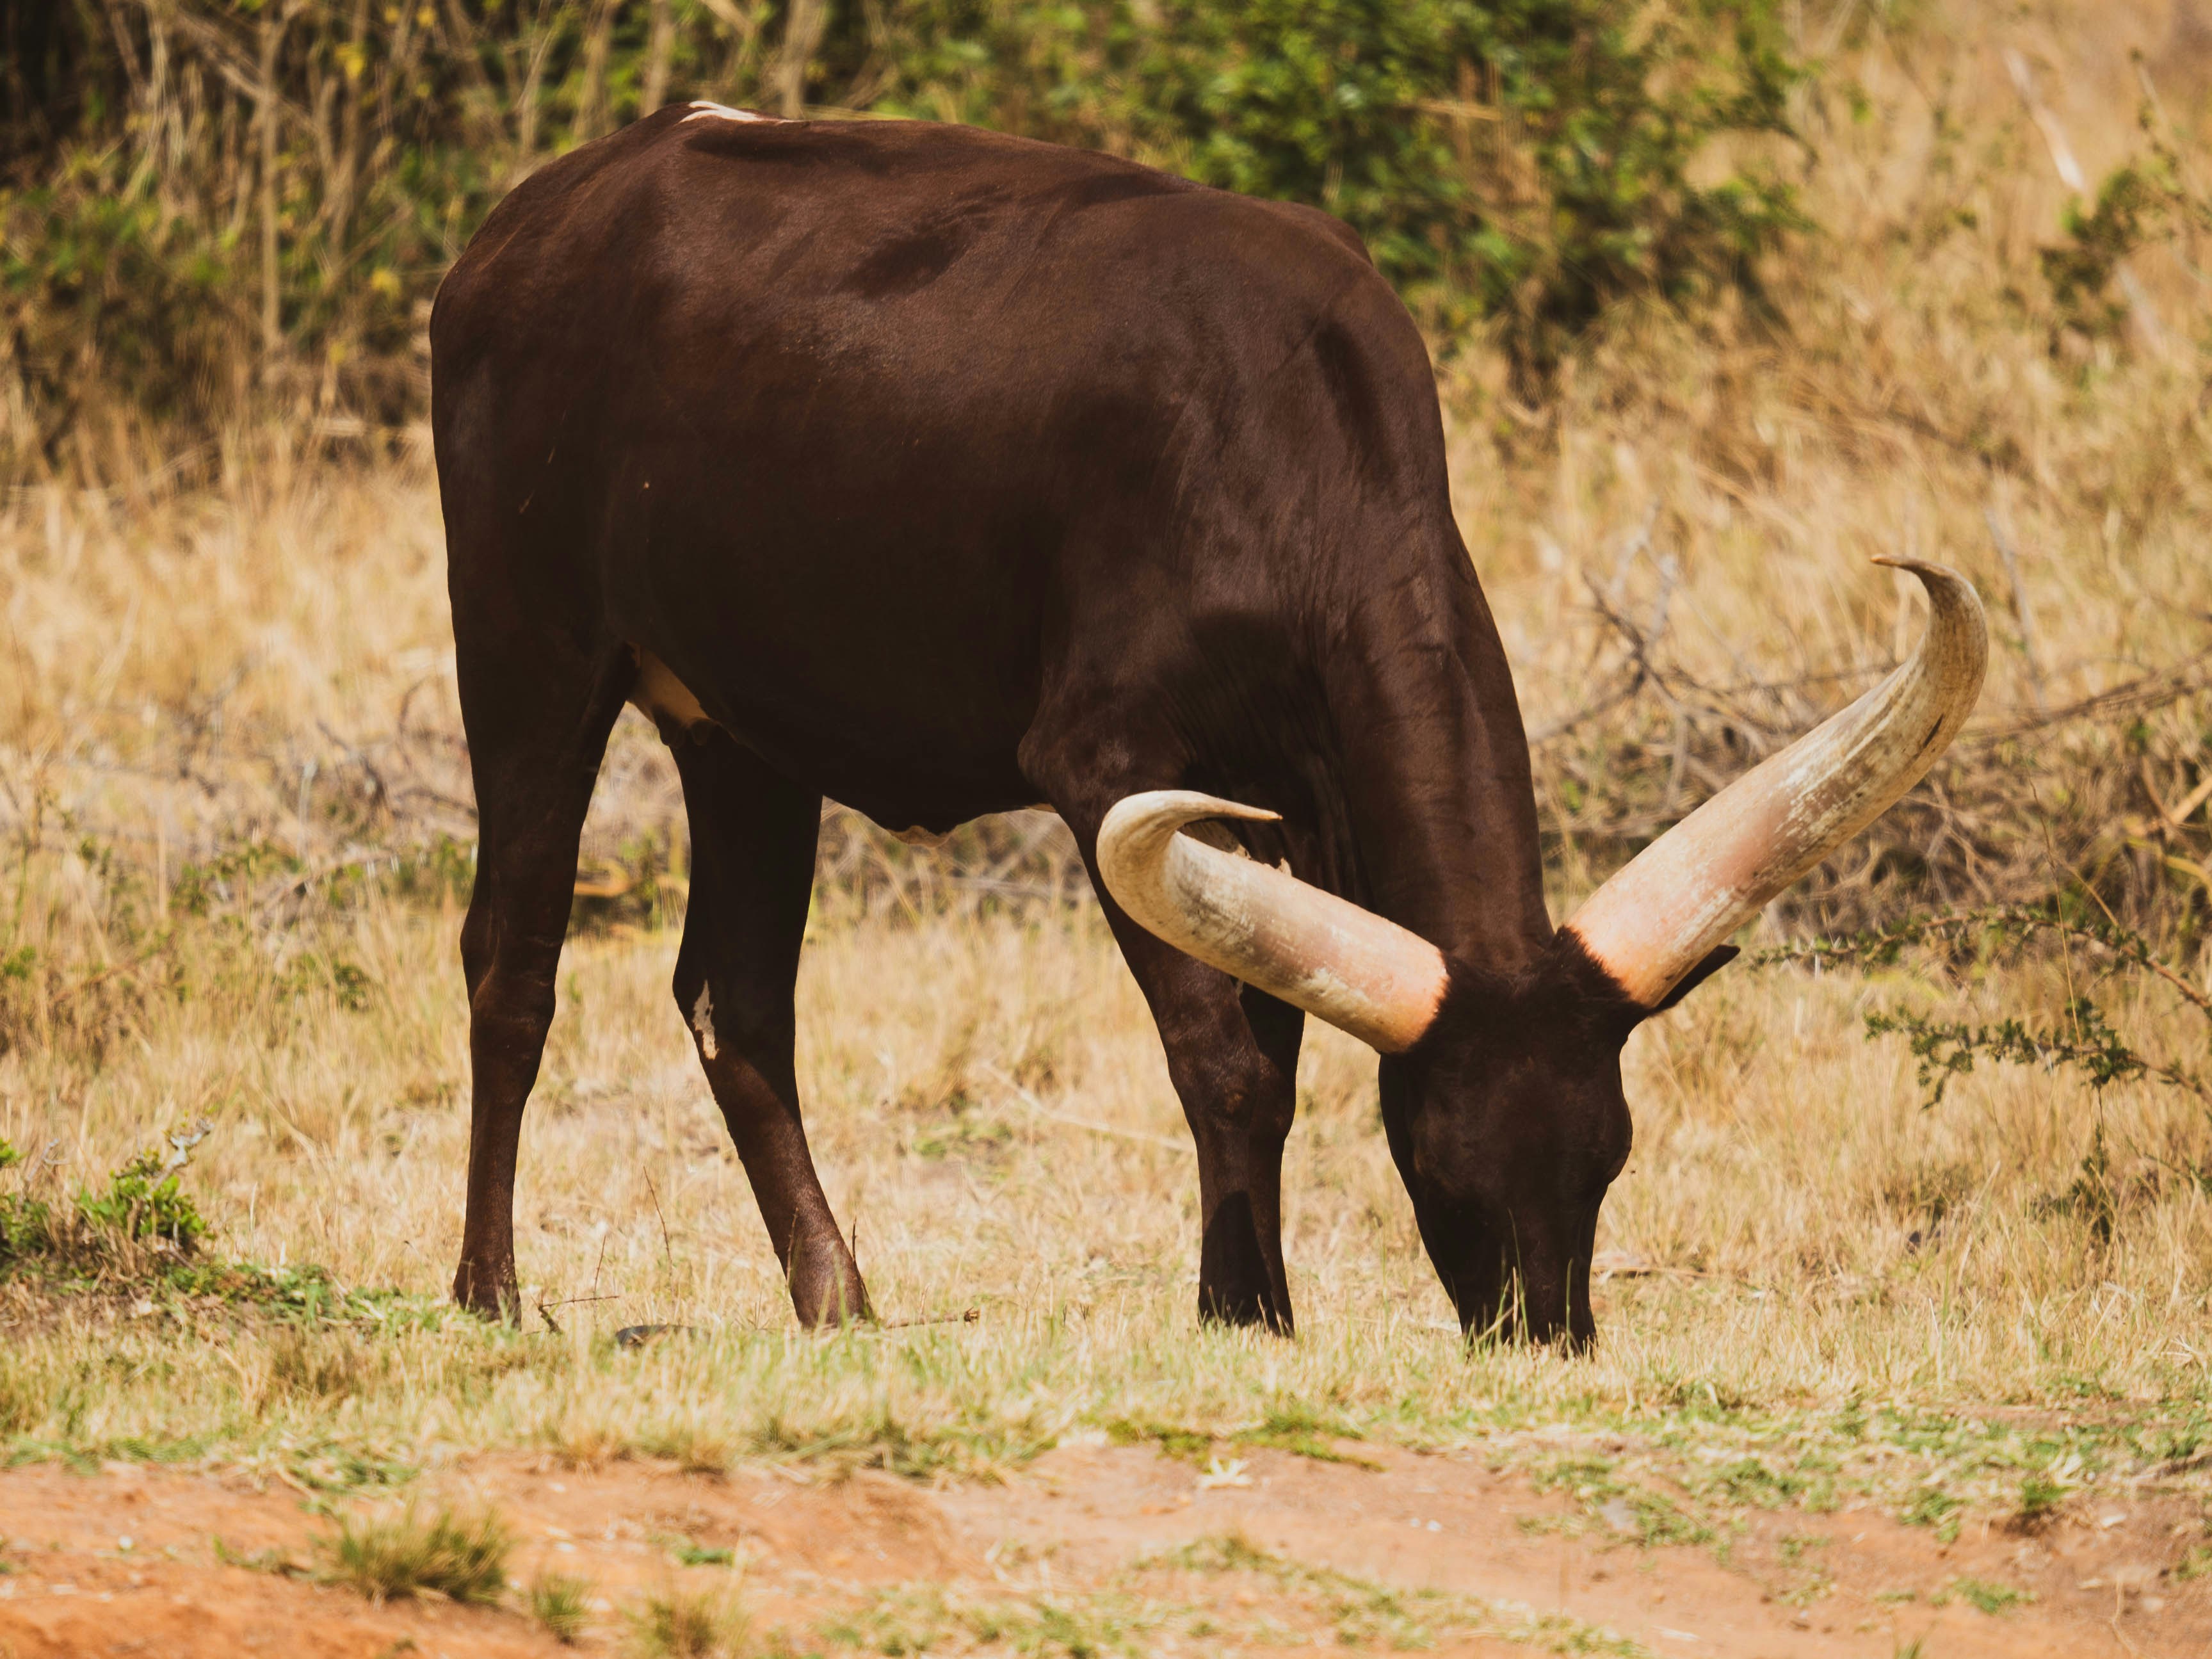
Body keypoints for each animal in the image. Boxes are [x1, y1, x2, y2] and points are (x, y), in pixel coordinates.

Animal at [431, 103, 1985, 1347]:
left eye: (1605, 1155)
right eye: (1439, 1164)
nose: (1545, 1336)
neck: (1283, 437)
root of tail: (526, 223)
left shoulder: (1271, 812)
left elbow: (1275, 1052)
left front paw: (1239, 1293)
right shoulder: (1106, 769)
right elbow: (1222, 1063)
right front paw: (1251, 1315)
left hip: (743, 734)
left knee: (738, 1000)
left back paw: (837, 1297)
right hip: (527, 653)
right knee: (512, 965)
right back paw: (488, 1292)